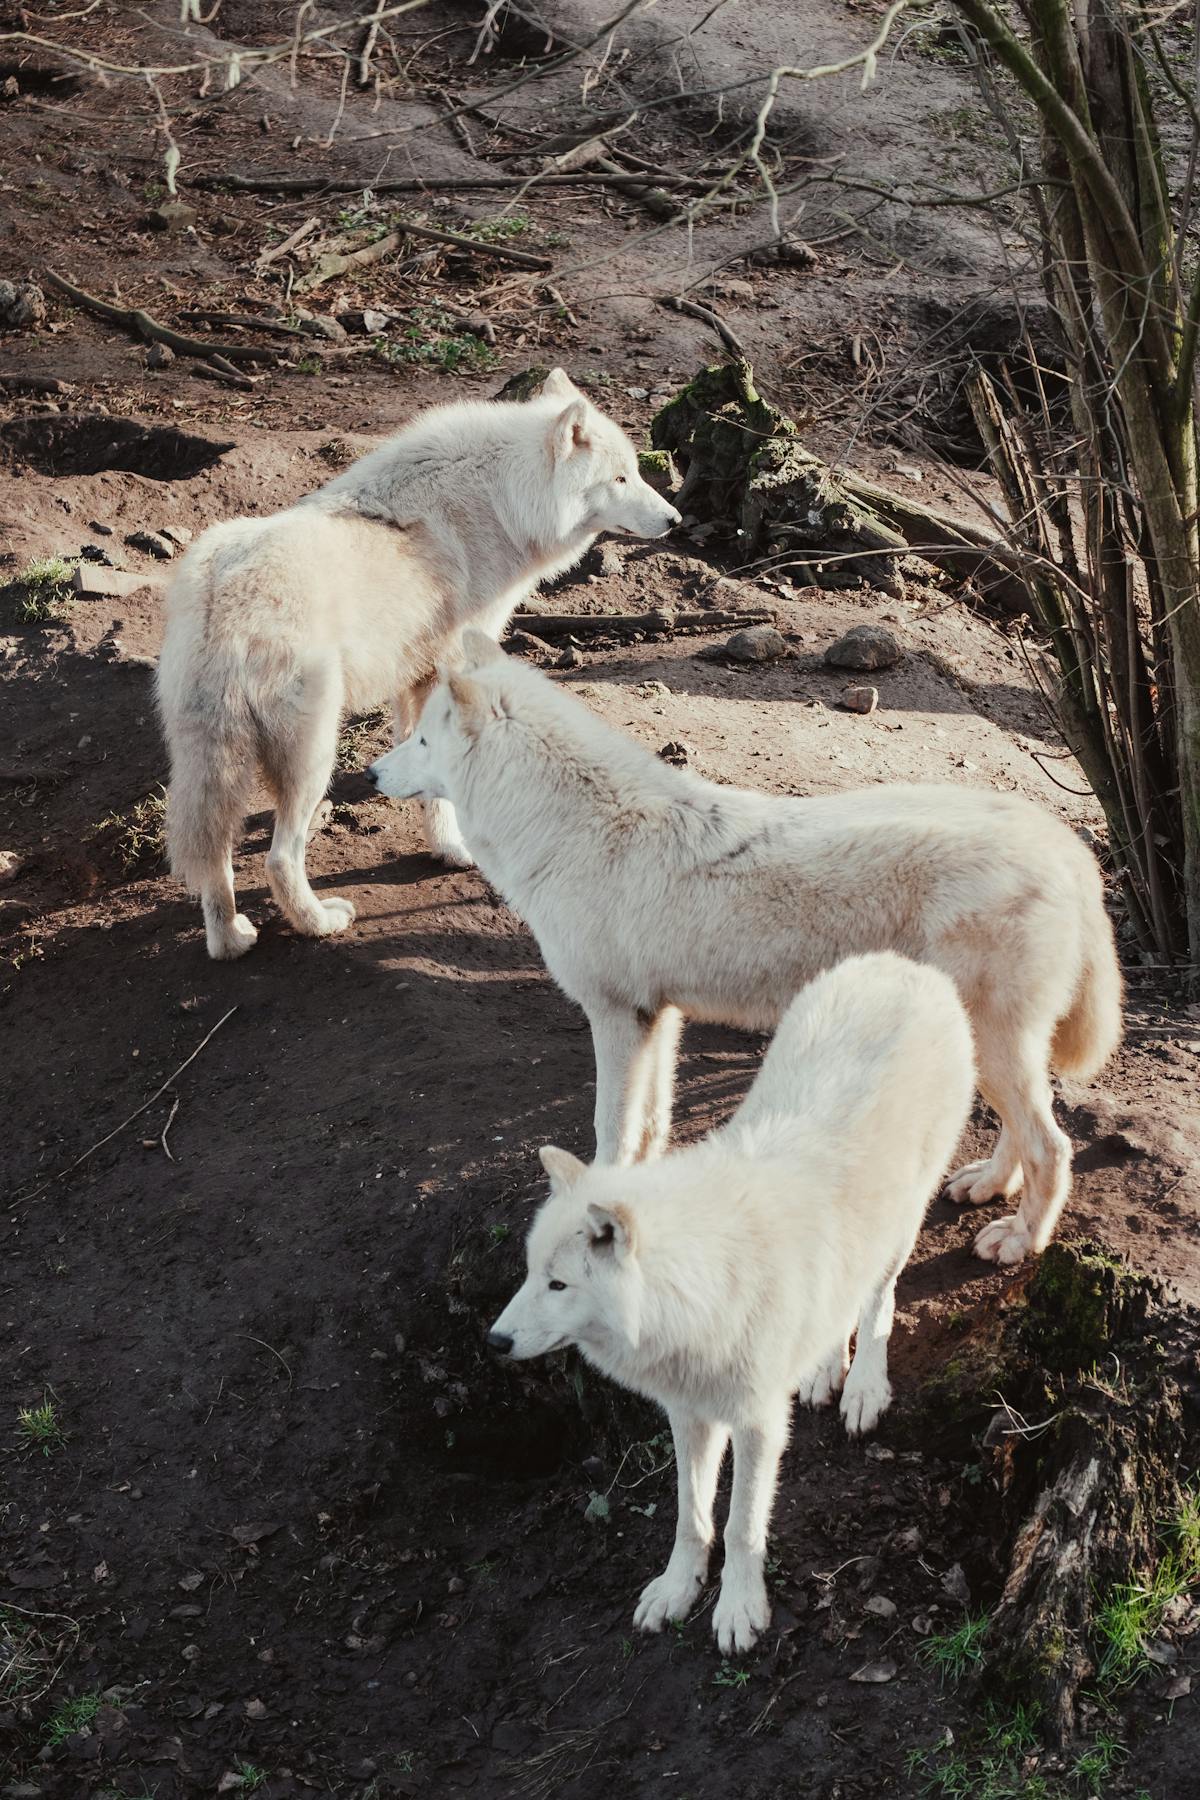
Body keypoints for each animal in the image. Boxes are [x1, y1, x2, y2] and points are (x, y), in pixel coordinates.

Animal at [155, 370, 679, 960]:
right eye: (621, 477)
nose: (675, 518)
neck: (501, 504)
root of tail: (225, 593)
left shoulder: (413, 679)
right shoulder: (445, 669)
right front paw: (452, 848)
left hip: (210, 762)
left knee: (213, 856)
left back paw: (230, 940)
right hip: (314, 754)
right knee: (279, 857)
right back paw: (320, 923)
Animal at [368, 632, 1122, 1266]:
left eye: (423, 741)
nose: (374, 773)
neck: (574, 829)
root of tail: (1066, 844)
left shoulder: (615, 1016)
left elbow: (610, 1129)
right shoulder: (657, 1017)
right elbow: (651, 1124)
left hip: (992, 1044)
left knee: (1054, 1147)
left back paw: (1019, 1239)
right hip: (994, 1046)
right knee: (1023, 1133)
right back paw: (988, 1186)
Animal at [488, 952, 977, 1653]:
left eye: (559, 1286)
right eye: (531, 1274)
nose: (495, 1341)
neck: (697, 1292)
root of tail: (904, 965)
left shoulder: (758, 1422)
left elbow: (743, 1526)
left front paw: (740, 1609)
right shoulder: (689, 1414)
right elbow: (691, 1518)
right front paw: (676, 1590)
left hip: (902, 1222)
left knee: (877, 1299)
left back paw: (862, 1386)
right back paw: (823, 1369)